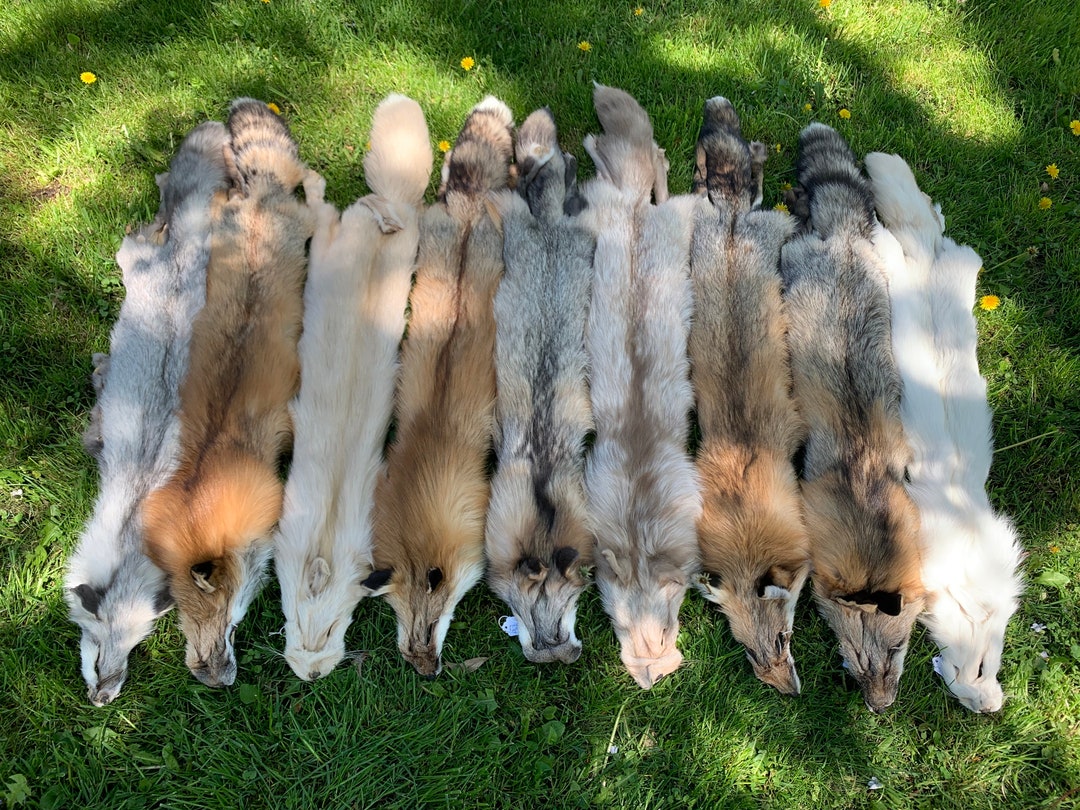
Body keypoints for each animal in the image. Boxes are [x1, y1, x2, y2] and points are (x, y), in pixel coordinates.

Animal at [64, 120, 229, 705]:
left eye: (134, 648)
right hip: (129, 255)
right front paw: (97, 370)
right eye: (93, 650)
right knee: (140, 231)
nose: (101, 699)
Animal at [141, 99, 313, 688]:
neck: (202, 475)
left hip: (300, 221)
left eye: (222, 618)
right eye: (182, 621)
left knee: (303, 184)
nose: (210, 678)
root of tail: (260, 198)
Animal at [273, 94, 433, 682]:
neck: (324, 529)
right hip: (332, 240)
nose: (312, 674)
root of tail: (394, 206)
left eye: (333, 628)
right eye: (300, 624)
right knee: (326, 206)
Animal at [865, 151, 1023, 713]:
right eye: (975, 666)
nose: (989, 704)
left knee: (936, 236)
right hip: (906, 281)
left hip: (956, 268)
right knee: (903, 244)